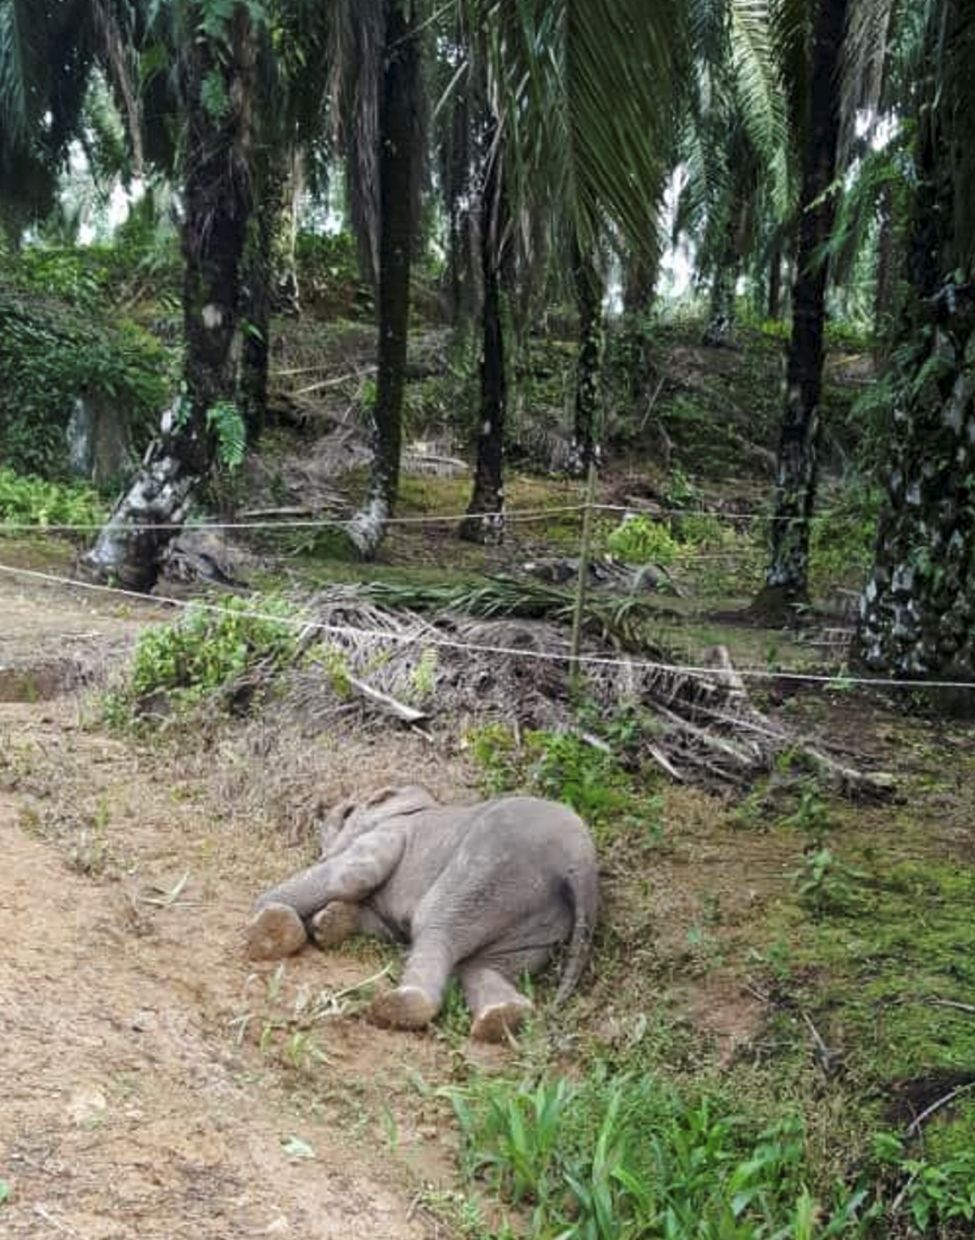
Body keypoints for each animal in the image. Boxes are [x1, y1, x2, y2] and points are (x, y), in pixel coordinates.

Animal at [246, 786, 599, 1042]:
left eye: (346, 812)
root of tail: (580, 865)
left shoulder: (393, 831)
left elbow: (353, 876)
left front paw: (263, 920)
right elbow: (382, 922)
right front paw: (323, 923)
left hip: (494, 865)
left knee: (435, 925)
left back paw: (398, 1008)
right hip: (543, 918)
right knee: (481, 965)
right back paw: (503, 1020)